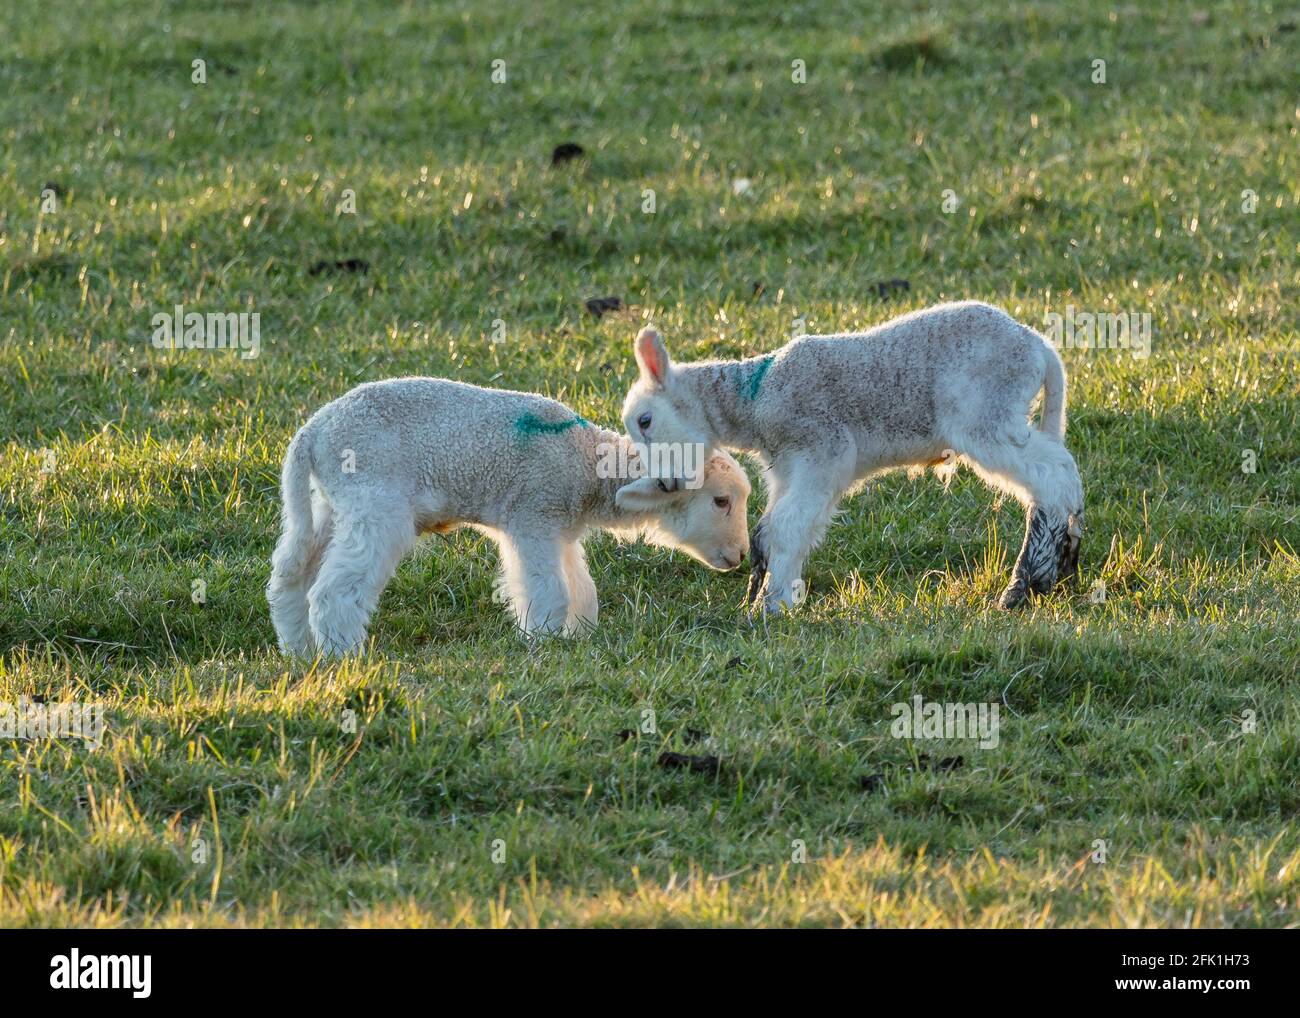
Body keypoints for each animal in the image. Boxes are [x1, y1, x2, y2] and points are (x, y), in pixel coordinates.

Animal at [266, 377, 751, 657]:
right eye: (721, 501)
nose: (743, 555)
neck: (587, 466)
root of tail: (313, 432)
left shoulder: (558, 527)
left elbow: (582, 589)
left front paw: (578, 637)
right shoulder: (533, 515)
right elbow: (550, 591)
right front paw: (543, 643)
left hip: (334, 502)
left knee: (291, 574)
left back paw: (299, 650)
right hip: (374, 501)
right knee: (334, 590)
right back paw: (342, 654)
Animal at [618, 301, 1084, 614]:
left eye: (645, 421)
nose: (665, 484)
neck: (756, 397)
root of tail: (1038, 346)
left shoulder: (822, 452)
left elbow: (786, 527)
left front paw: (770, 608)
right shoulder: (787, 466)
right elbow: (770, 529)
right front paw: (765, 588)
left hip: (986, 413)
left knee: (1055, 475)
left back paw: (1028, 582)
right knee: (1058, 471)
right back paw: (1063, 564)